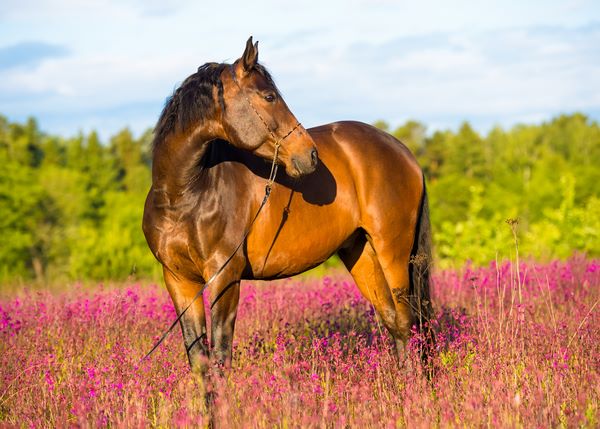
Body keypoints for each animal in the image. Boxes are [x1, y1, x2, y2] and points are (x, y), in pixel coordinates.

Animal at [143, 36, 434, 374]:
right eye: (269, 96)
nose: (310, 154)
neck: (185, 194)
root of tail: (402, 151)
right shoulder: (179, 282)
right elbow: (199, 360)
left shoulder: (225, 278)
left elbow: (221, 357)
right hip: (361, 253)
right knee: (395, 324)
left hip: (394, 252)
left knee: (408, 321)